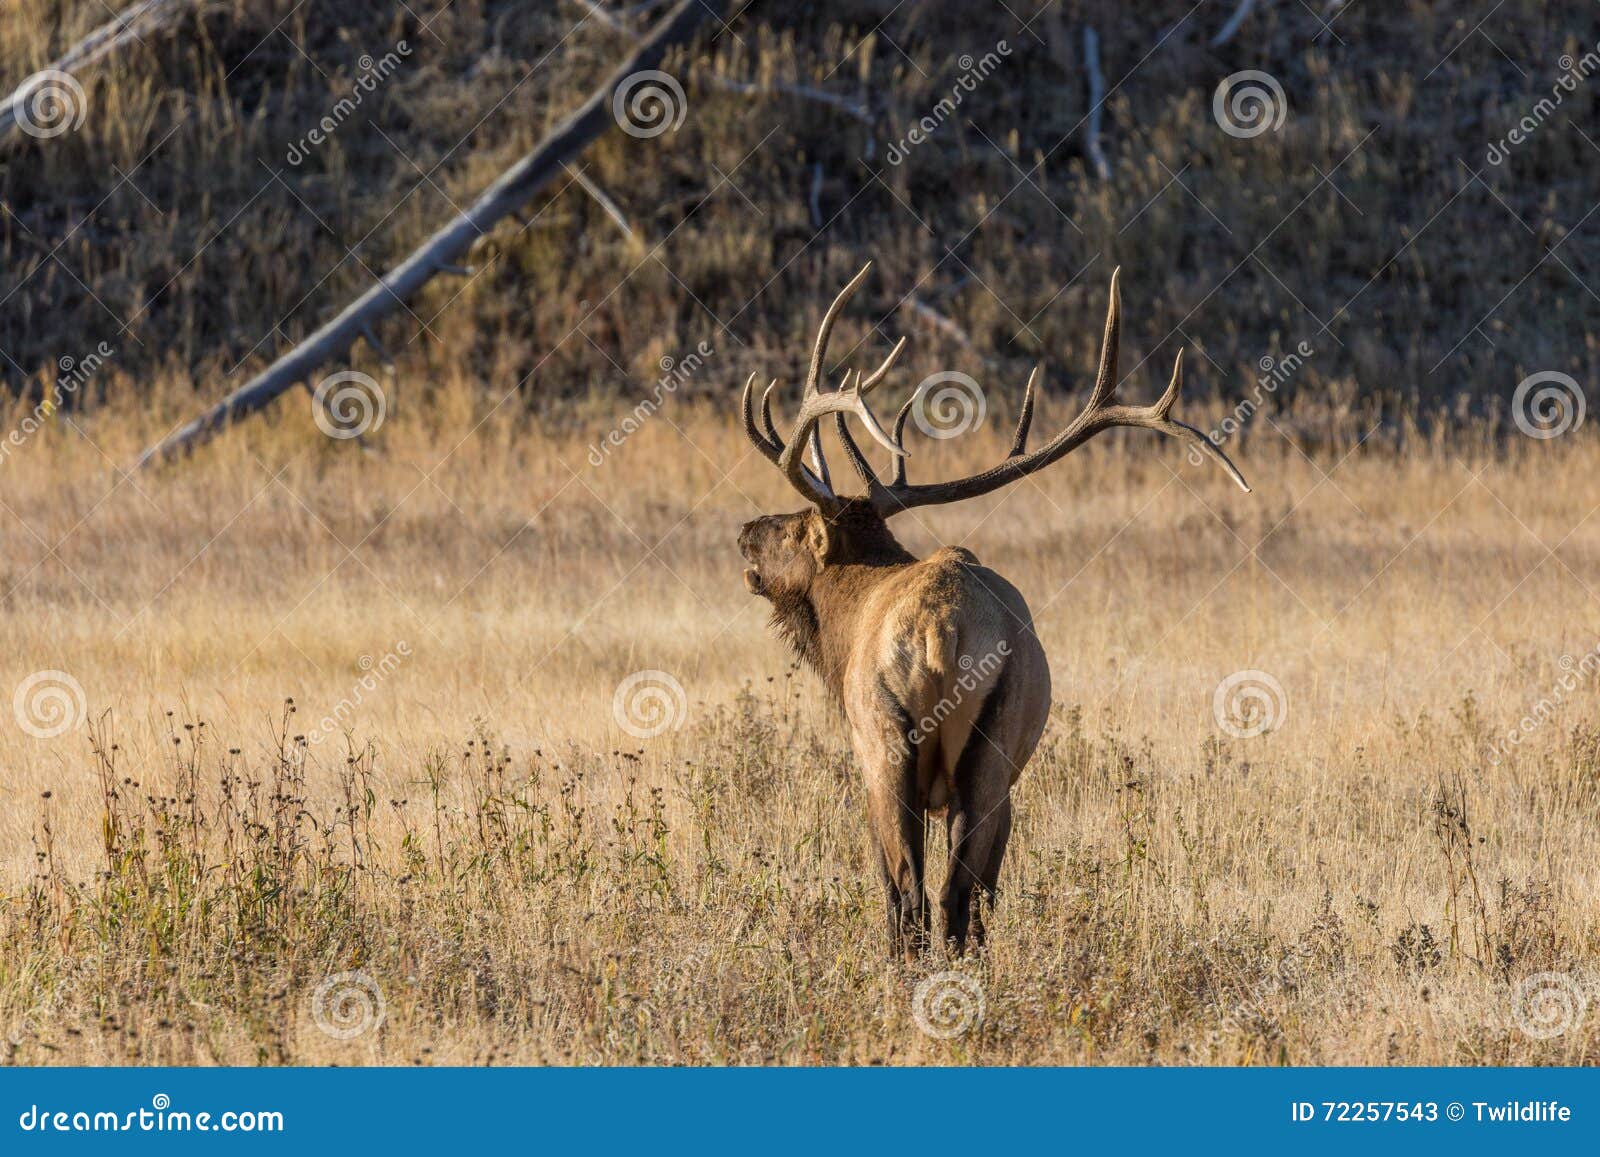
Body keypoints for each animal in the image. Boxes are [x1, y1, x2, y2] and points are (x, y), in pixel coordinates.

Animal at [736, 263, 1250, 959]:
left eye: (792, 529)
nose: (744, 533)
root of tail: (939, 631)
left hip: (893, 743)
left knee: (916, 893)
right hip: (990, 748)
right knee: (950, 893)